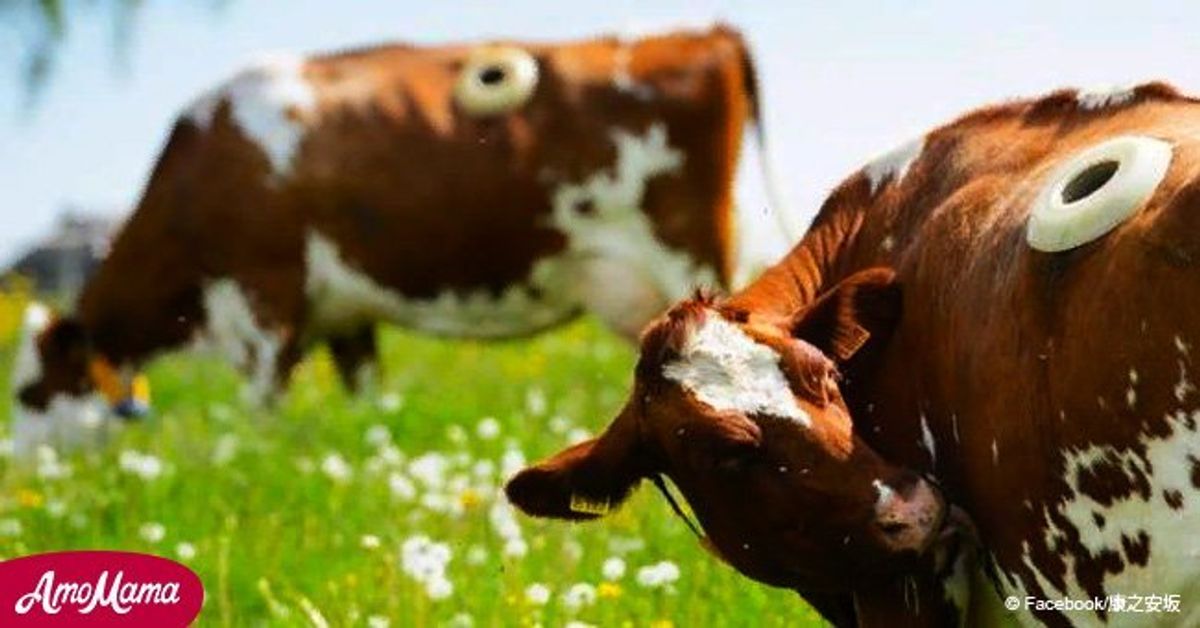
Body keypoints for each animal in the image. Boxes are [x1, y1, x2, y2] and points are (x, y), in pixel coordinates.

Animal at [11, 24, 790, 452]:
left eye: (25, 393)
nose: (19, 467)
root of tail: (707, 33)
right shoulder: (344, 317)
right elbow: (365, 398)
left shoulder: (263, 301)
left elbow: (260, 411)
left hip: (685, 255)